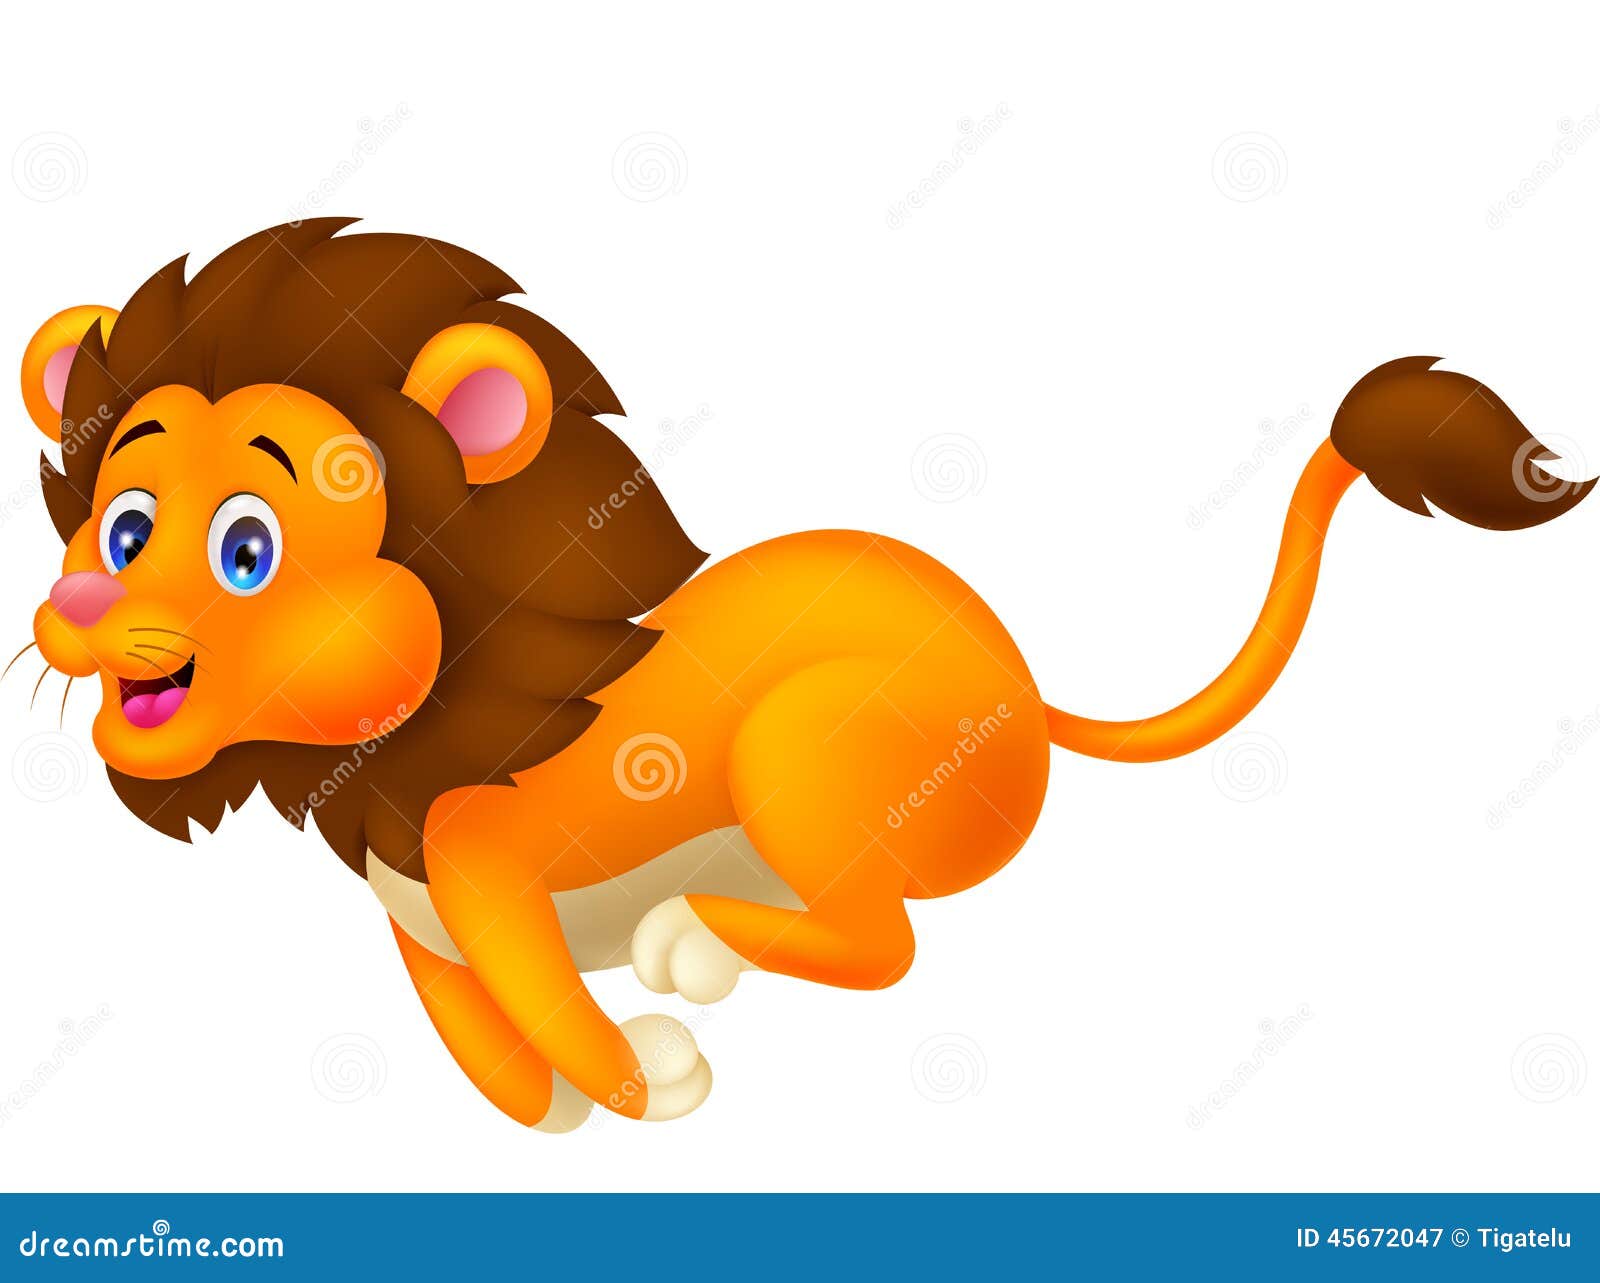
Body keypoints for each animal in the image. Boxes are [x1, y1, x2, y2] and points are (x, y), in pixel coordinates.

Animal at [18, 221, 1590, 1130]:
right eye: (123, 521)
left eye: (247, 546)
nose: (82, 603)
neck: (449, 702)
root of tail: (1029, 692)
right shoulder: (422, 931)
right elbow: (499, 1064)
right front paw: (554, 1105)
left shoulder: (486, 879)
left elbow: (560, 1017)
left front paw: (643, 1074)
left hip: (801, 748)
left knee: (882, 943)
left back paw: (693, 938)